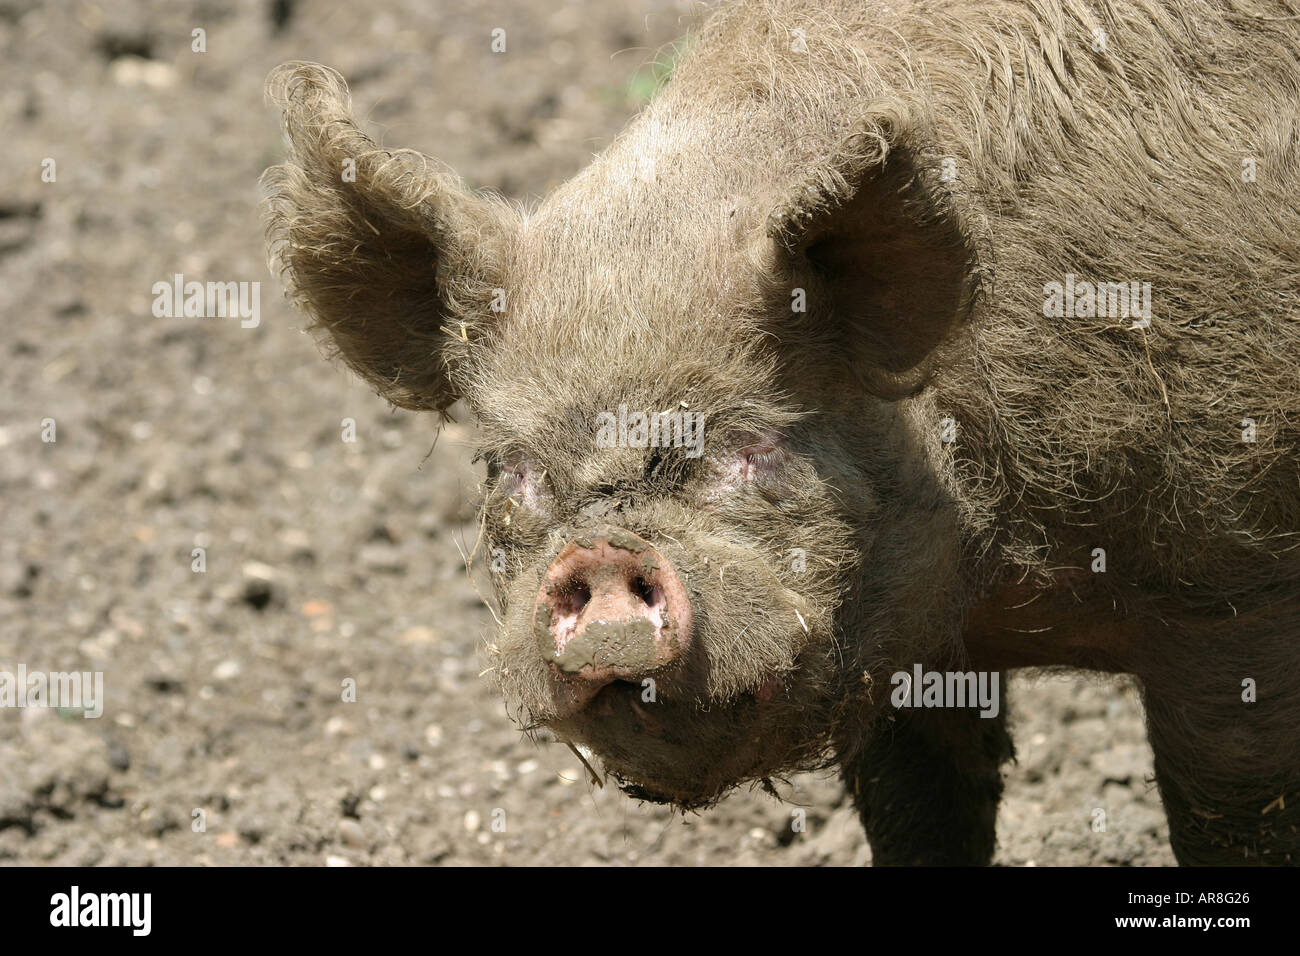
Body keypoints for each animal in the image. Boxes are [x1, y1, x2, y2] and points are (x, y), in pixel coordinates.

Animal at [263, 0, 1300, 865]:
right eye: (512, 471)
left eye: (752, 447)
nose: (601, 556)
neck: (1010, 578)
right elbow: (924, 813)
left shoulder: (1234, 592)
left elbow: (1229, 814)